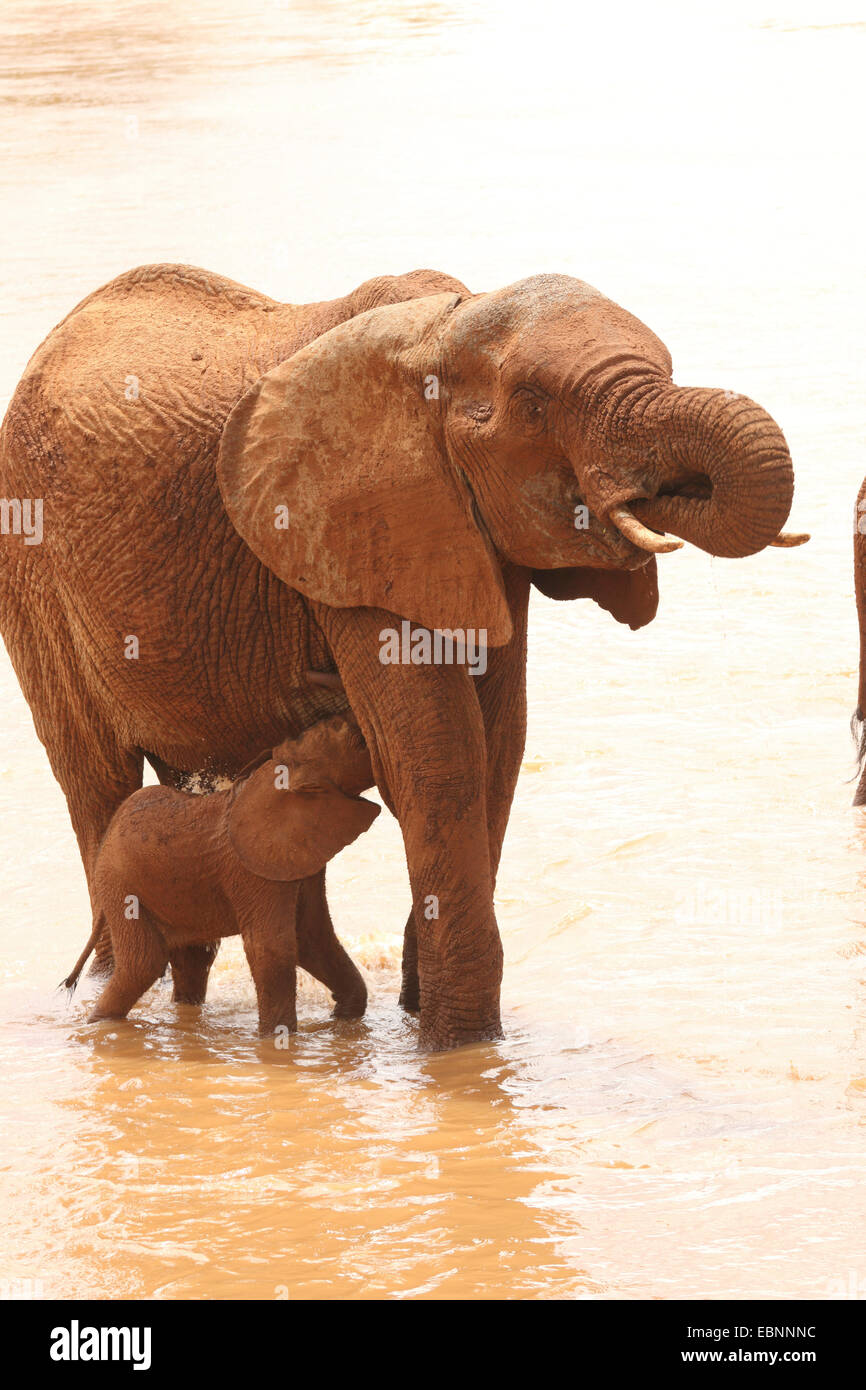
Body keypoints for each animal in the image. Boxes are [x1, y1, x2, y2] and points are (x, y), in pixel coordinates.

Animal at [84, 713, 378, 1033]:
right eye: (340, 734)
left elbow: (312, 936)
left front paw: (344, 1016)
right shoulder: (252, 871)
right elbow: (272, 946)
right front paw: (276, 1038)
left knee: (191, 956)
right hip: (121, 887)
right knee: (143, 963)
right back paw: (99, 1024)